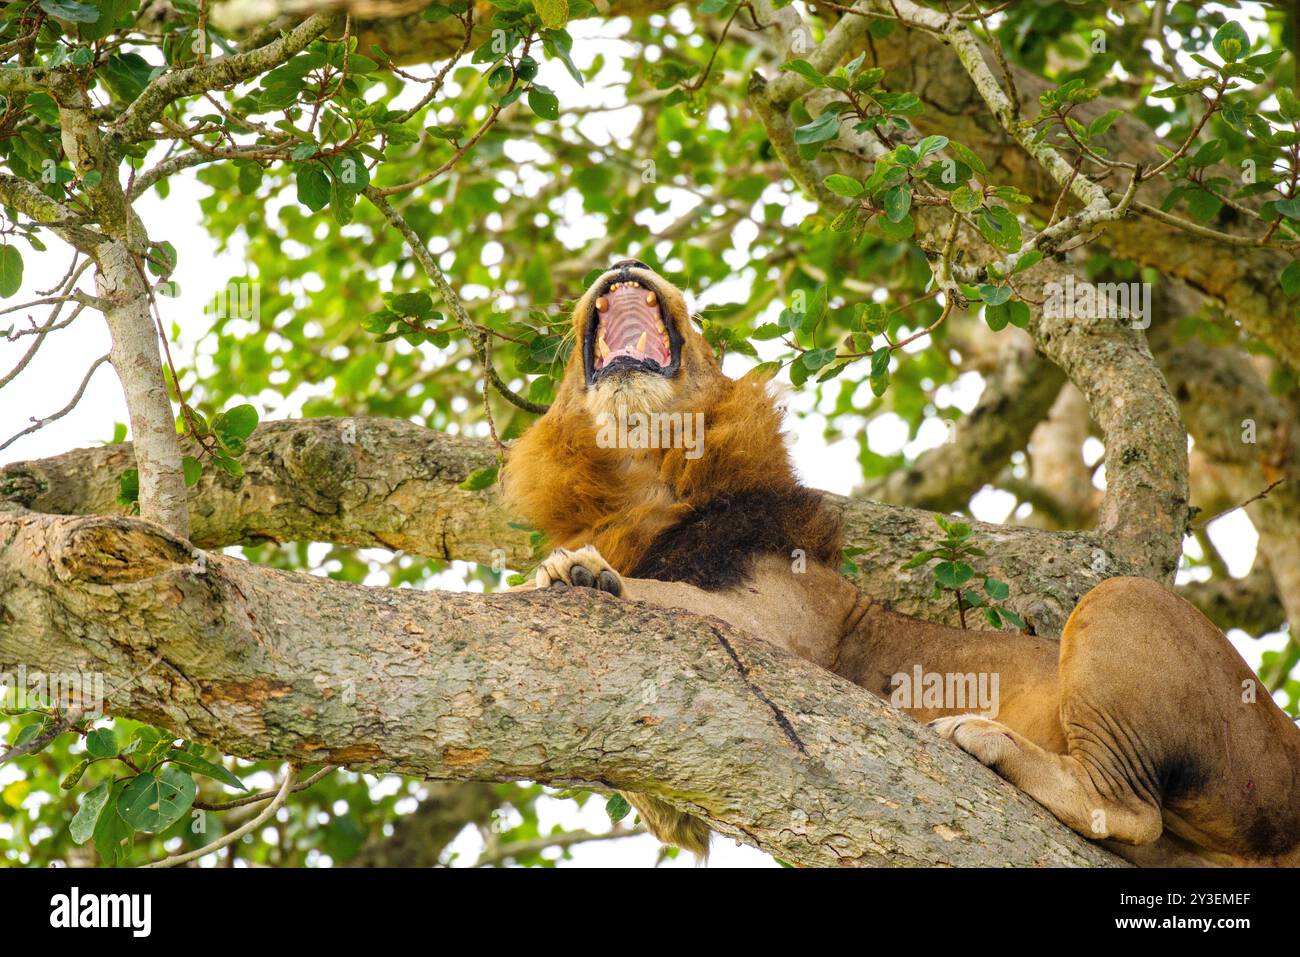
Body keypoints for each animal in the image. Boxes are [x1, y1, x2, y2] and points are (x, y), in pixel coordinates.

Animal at [504, 259, 1300, 866]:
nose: (625, 262)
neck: (648, 481)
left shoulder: (787, 632)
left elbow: (663, 594)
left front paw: (579, 572)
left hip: (1126, 602)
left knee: (1130, 807)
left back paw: (983, 737)